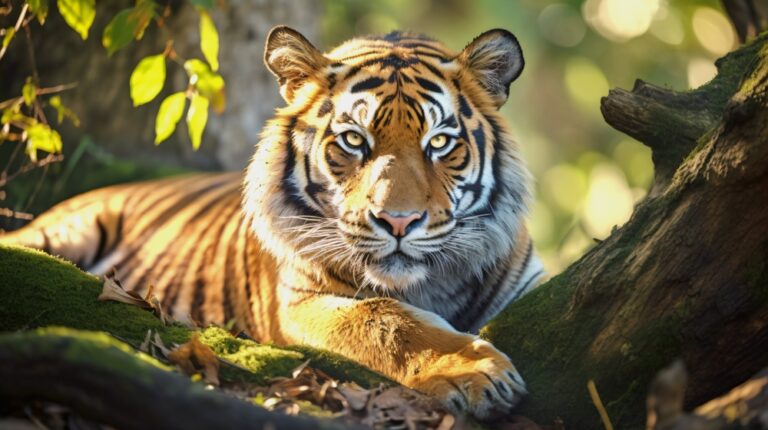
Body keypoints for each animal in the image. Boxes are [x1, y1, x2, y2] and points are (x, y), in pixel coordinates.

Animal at [1, 26, 545, 419]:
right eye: (354, 140)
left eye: (439, 143)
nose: (398, 221)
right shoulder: (298, 302)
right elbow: (385, 320)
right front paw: (477, 372)